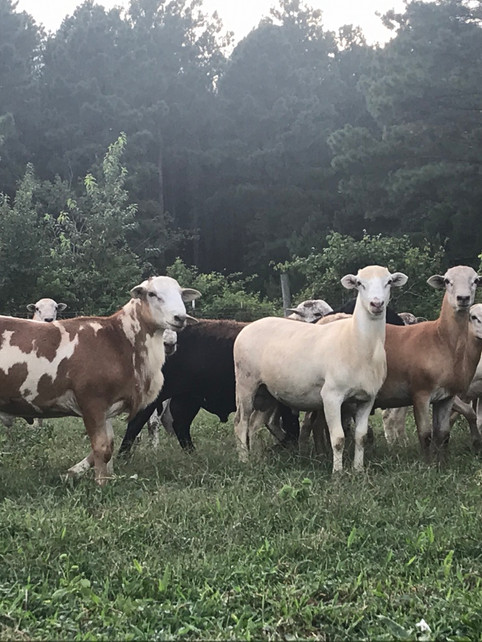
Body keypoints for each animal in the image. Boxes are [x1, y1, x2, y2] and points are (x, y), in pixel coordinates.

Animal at [233, 265, 408, 472]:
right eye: (359, 283)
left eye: (389, 282)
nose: (377, 304)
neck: (355, 340)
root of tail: (249, 326)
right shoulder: (331, 396)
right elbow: (338, 438)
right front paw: (337, 473)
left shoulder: (366, 399)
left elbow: (361, 437)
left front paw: (358, 470)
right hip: (246, 384)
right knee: (241, 423)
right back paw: (244, 461)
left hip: (266, 392)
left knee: (254, 424)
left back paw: (258, 460)